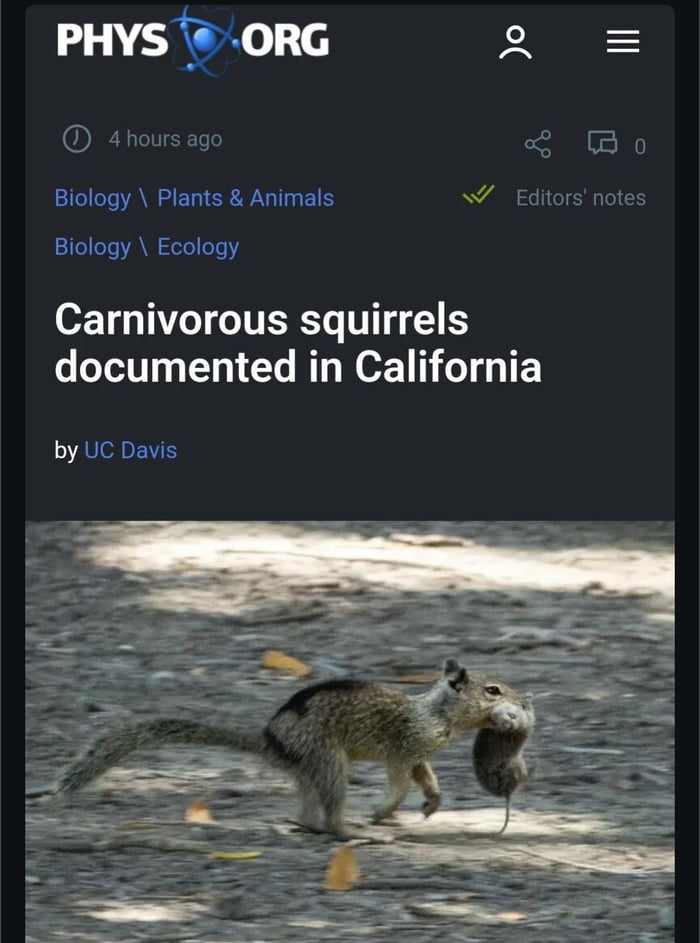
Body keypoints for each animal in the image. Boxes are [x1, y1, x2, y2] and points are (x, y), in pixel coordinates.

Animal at [42, 659, 522, 837]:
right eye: (493, 690)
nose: (522, 702)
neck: (437, 713)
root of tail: (270, 740)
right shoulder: (403, 749)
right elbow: (401, 782)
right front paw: (384, 811)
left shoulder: (420, 754)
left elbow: (427, 777)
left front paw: (431, 802)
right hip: (329, 761)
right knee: (331, 812)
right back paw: (351, 830)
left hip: (312, 769)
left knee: (307, 810)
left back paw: (308, 825)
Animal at [472, 694, 535, 835]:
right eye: (495, 722)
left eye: (512, 716)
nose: (508, 724)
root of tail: (507, 792)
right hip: (517, 766)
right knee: (524, 778)